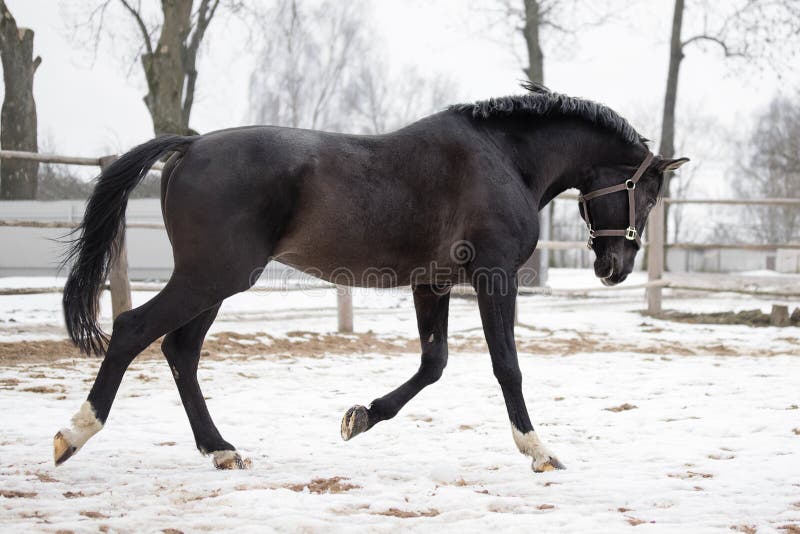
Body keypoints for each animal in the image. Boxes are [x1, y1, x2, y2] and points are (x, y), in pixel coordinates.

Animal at [53, 82, 688, 472]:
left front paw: (358, 418)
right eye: (645, 192)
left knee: (180, 351)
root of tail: (189, 146)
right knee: (135, 331)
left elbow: (433, 365)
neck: (504, 159)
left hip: (215, 281)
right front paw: (538, 450)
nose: (614, 268)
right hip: (212, 276)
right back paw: (73, 435)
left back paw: (222, 450)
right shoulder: (494, 275)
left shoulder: (432, 283)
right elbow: (506, 366)